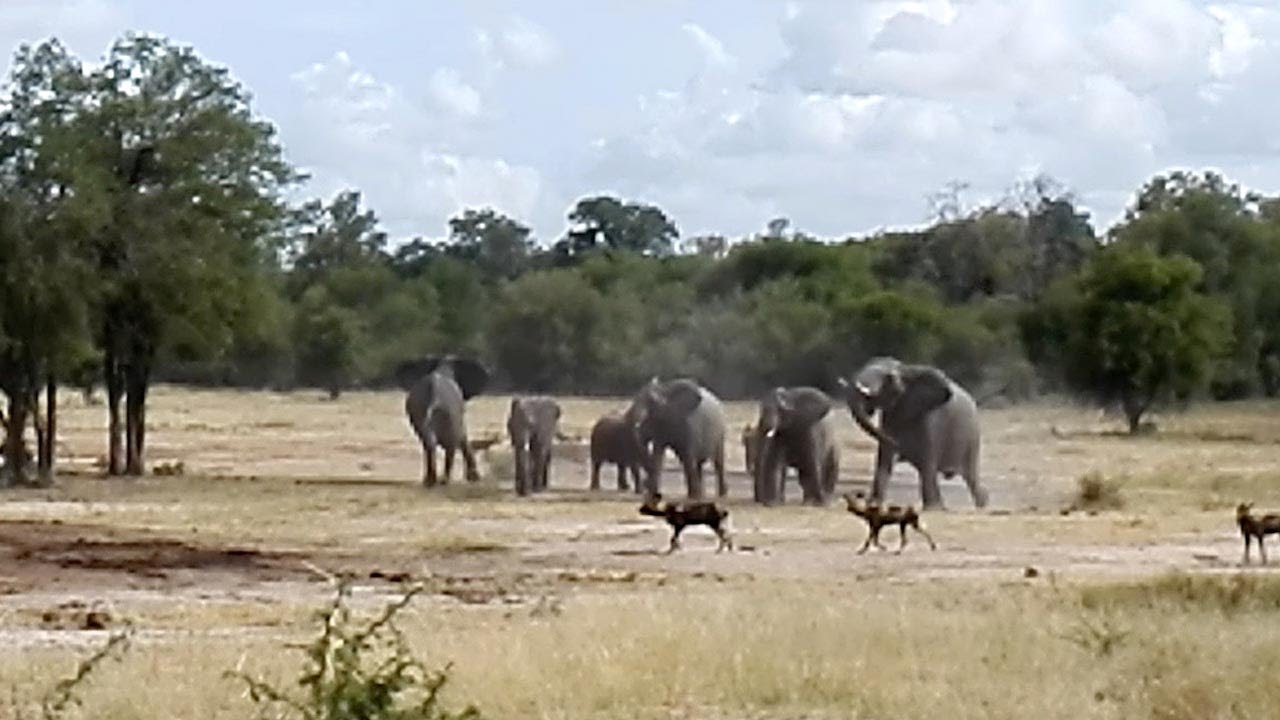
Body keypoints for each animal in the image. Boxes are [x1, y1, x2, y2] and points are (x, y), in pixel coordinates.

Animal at [398, 356, 489, 487]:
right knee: (450, 444)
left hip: (419, 412)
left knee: (429, 443)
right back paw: (444, 481)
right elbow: (462, 436)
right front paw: (474, 478)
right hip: (449, 413)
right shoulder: (459, 413)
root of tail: (434, 396)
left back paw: (430, 481)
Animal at [838, 357, 987, 510]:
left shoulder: (931, 422)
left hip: (972, 441)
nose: (899, 445)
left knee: (971, 477)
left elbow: (928, 463)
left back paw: (981, 504)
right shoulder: (889, 420)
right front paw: (874, 505)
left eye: (890, 378)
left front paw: (933, 508)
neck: (907, 369)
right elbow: (884, 461)